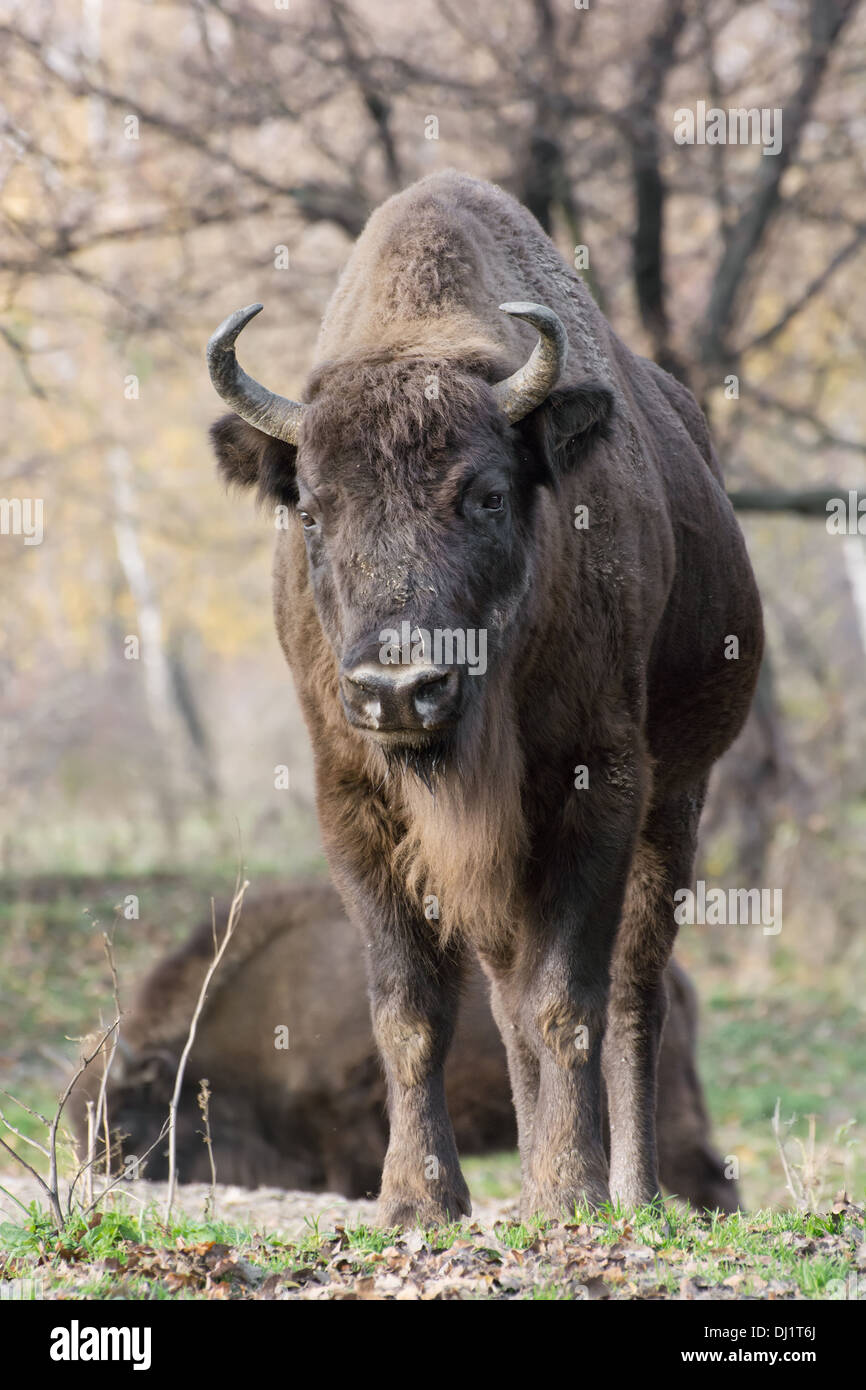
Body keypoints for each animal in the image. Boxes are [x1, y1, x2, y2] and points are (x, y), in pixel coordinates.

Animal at [208, 171, 762, 1223]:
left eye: (488, 495)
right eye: (313, 511)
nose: (399, 690)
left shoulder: (600, 786)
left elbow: (569, 997)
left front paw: (570, 1187)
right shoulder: (357, 803)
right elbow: (412, 1008)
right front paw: (418, 1198)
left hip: (680, 800)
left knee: (635, 994)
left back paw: (628, 1189)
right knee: (506, 1001)